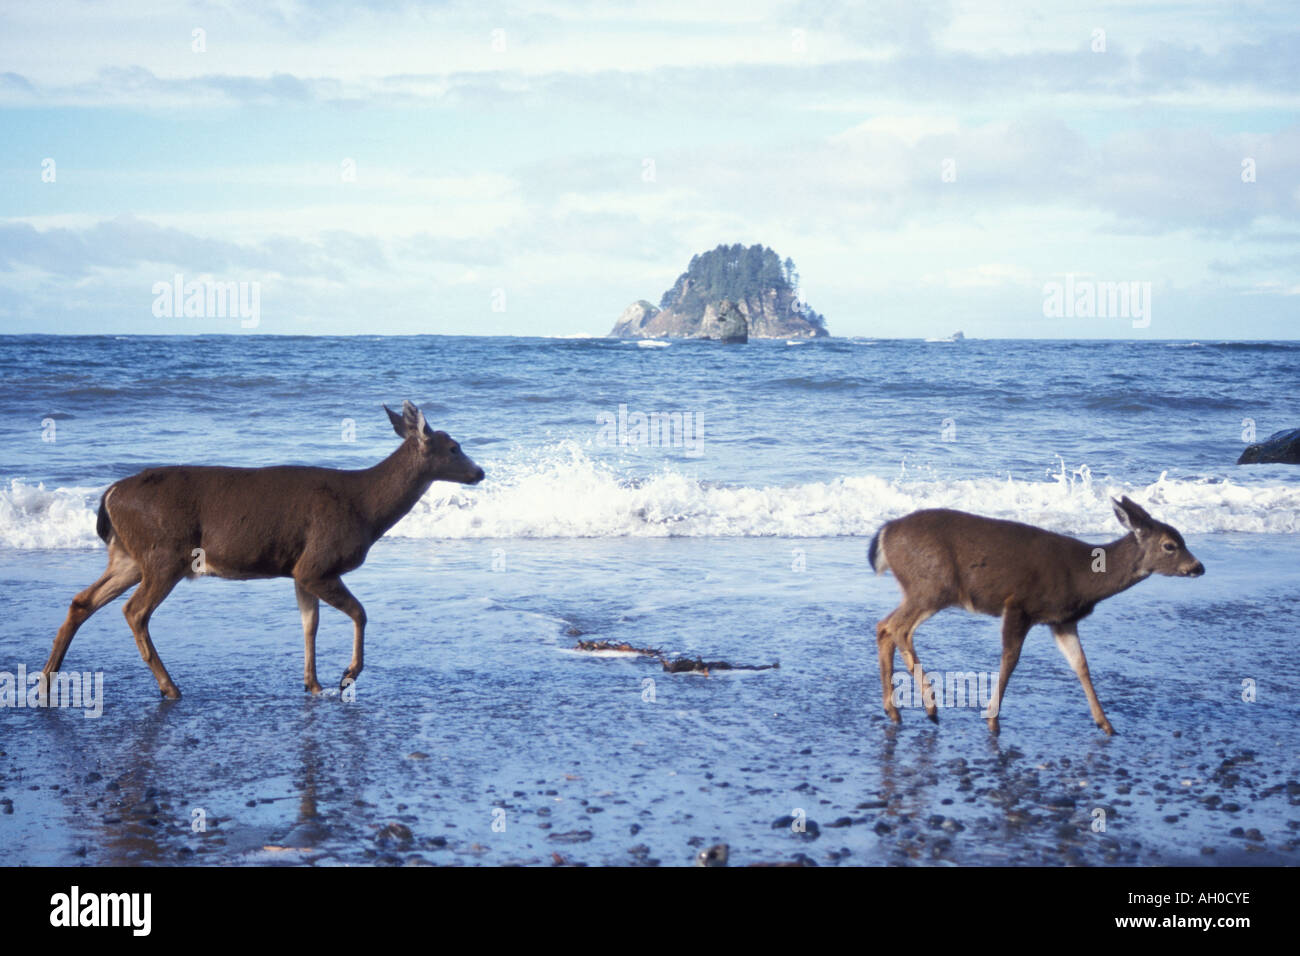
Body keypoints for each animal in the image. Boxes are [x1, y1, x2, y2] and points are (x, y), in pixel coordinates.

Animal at [39, 401, 483, 701]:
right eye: (454, 447)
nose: (479, 472)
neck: (366, 508)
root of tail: (110, 494)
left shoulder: (299, 569)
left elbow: (309, 624)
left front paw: (312, 683)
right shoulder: (317, 562)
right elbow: (360, 612)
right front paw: (347, 676)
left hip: (130, 556)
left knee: (82, 601)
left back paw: (46, 680)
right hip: (164, 552)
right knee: (134, 611)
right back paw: (170, 687)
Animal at [867, 496, 1203, 735]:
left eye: (1182, 539)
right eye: (1170, 545)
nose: (1198, 567)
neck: (1085, 576)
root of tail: (885, 532)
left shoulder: (1062, 621)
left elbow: (1081, 664)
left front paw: (1105, 724)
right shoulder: (1020, 604)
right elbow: (1010, 660)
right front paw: (992, 720)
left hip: (922, 589)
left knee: (884, 627)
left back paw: (894, 711)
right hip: (933, 586)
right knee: (898, 629)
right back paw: (930, 707)